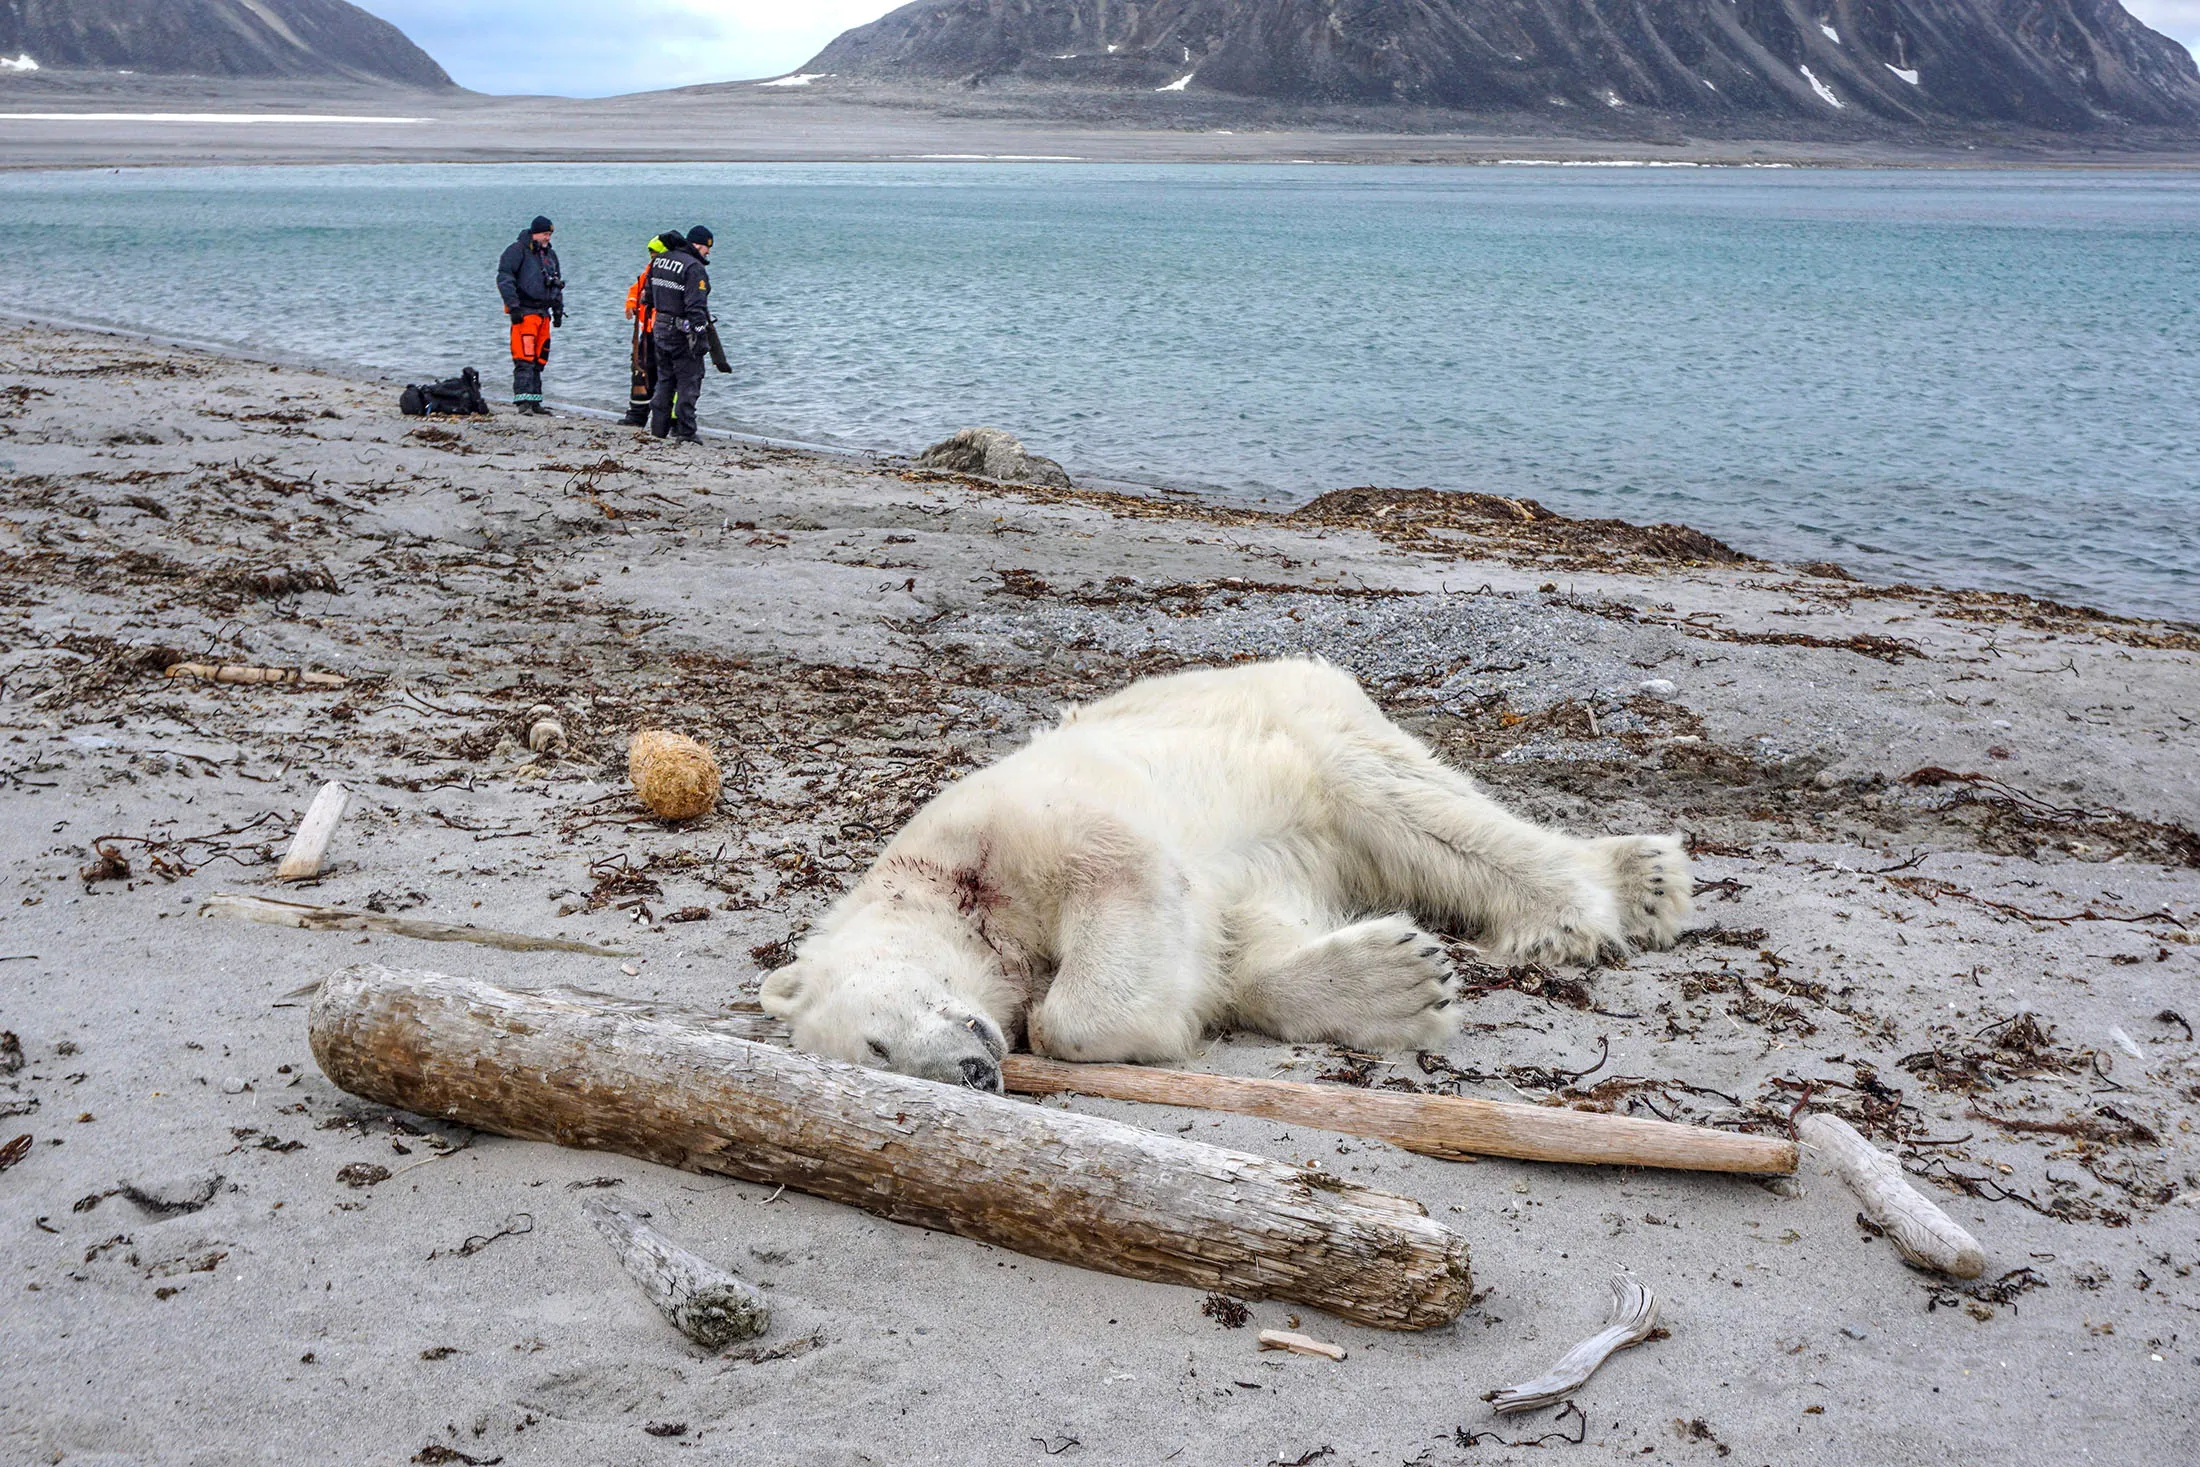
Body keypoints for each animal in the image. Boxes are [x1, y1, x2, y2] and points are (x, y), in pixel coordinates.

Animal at [761, 658, 1692, 1090]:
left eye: (876, 1044)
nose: (973, 1071)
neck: (946, 889)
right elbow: (1240, 945)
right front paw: (1395, 981)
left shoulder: (1016, 826)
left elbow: (1119, 889)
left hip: (1301, 725)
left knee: (1412, 808)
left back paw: (1607, 895)